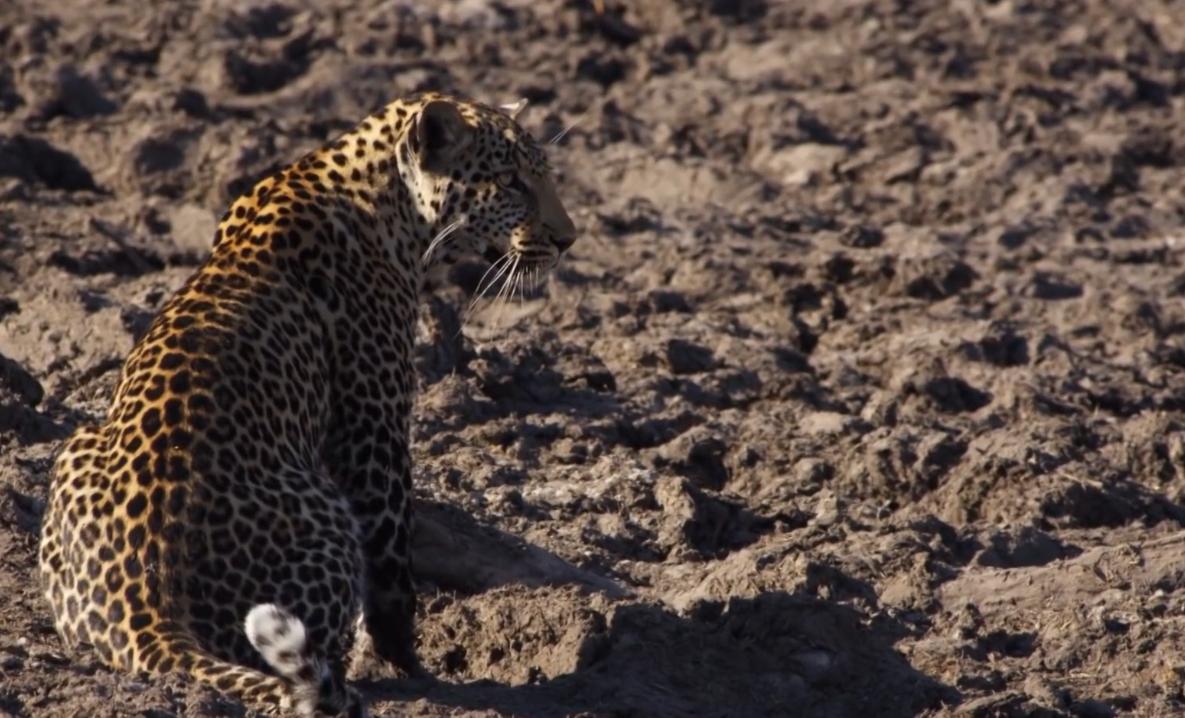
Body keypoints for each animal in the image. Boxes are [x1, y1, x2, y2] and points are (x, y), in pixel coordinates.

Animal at [37, 91, 577, 717]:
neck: (383, 198)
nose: (568, 239)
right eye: (511, 182)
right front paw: (405, 665)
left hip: (75, 446)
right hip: (325, 512)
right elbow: (391, 568)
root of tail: (148, 606)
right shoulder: (373, 426)